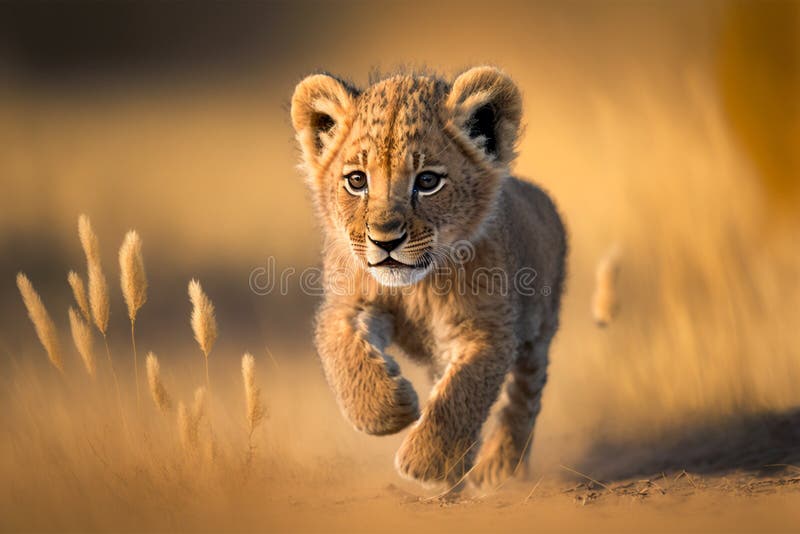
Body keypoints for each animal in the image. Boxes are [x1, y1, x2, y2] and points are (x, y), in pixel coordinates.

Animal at [290, 66, 566, 489]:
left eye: (427, 181)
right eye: (357, 180)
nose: (385, 240)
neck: (418, 287)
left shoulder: (488, 329)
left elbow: (461, 393)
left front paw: (427, 461)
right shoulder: (349, 304)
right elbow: (345, 354)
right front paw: (389, 407)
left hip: (538, 333)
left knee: (522, 397)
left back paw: (499, 467)